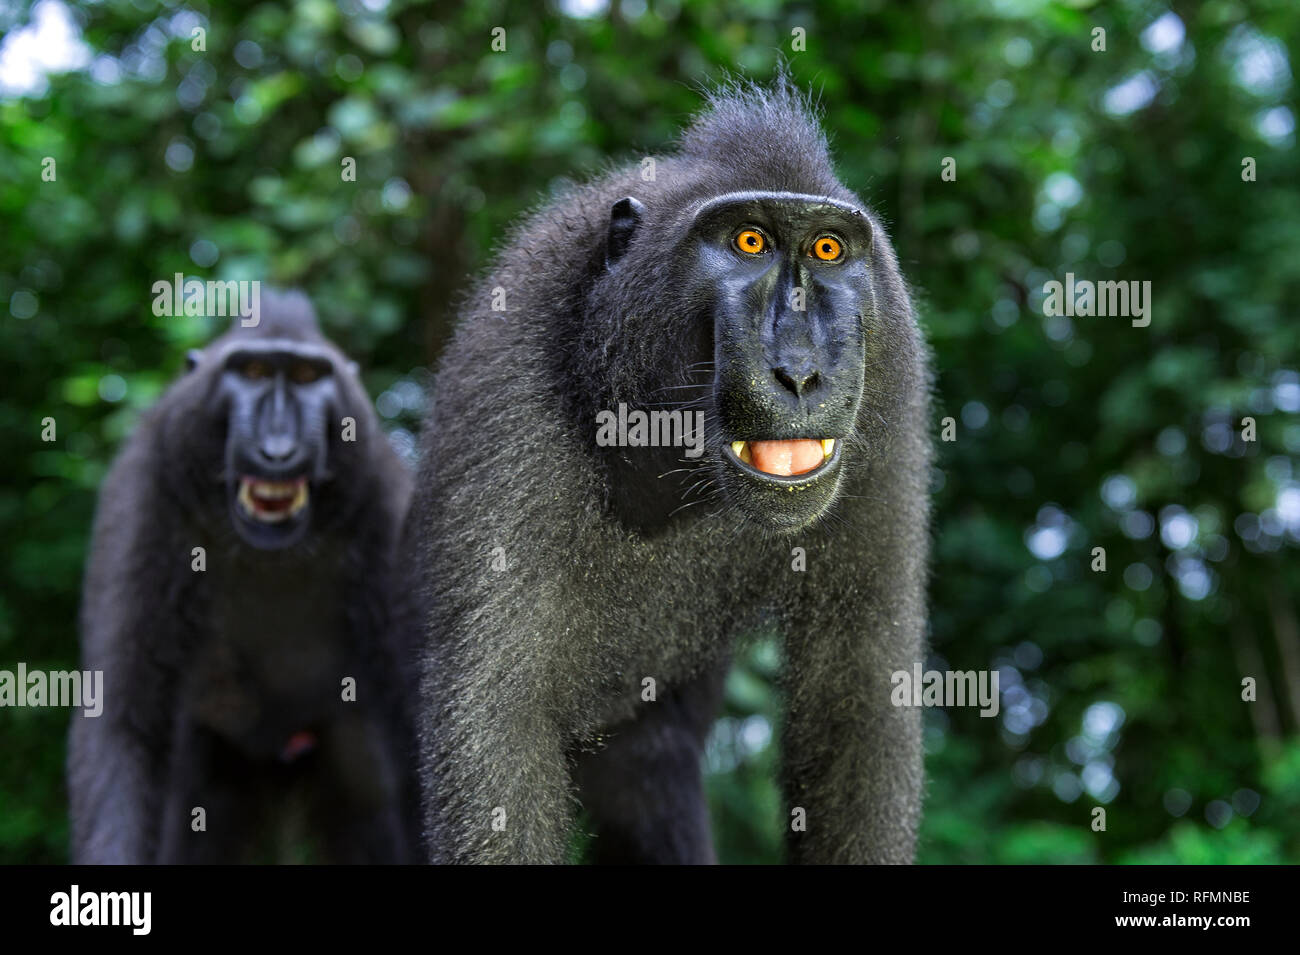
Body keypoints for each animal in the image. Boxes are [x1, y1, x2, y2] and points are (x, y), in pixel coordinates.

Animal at [68, 290, 421, 864]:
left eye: (306, 376)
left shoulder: (387, 504)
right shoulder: (144, 491)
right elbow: (123, 717)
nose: (278, 447)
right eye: (252, 371)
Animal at [408, 78, 932, 864]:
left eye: (829, 249)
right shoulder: (509, 401)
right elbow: (499, 734)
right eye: (749, 241)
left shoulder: (890, 414)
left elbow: (859, 698)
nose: (800, 371)